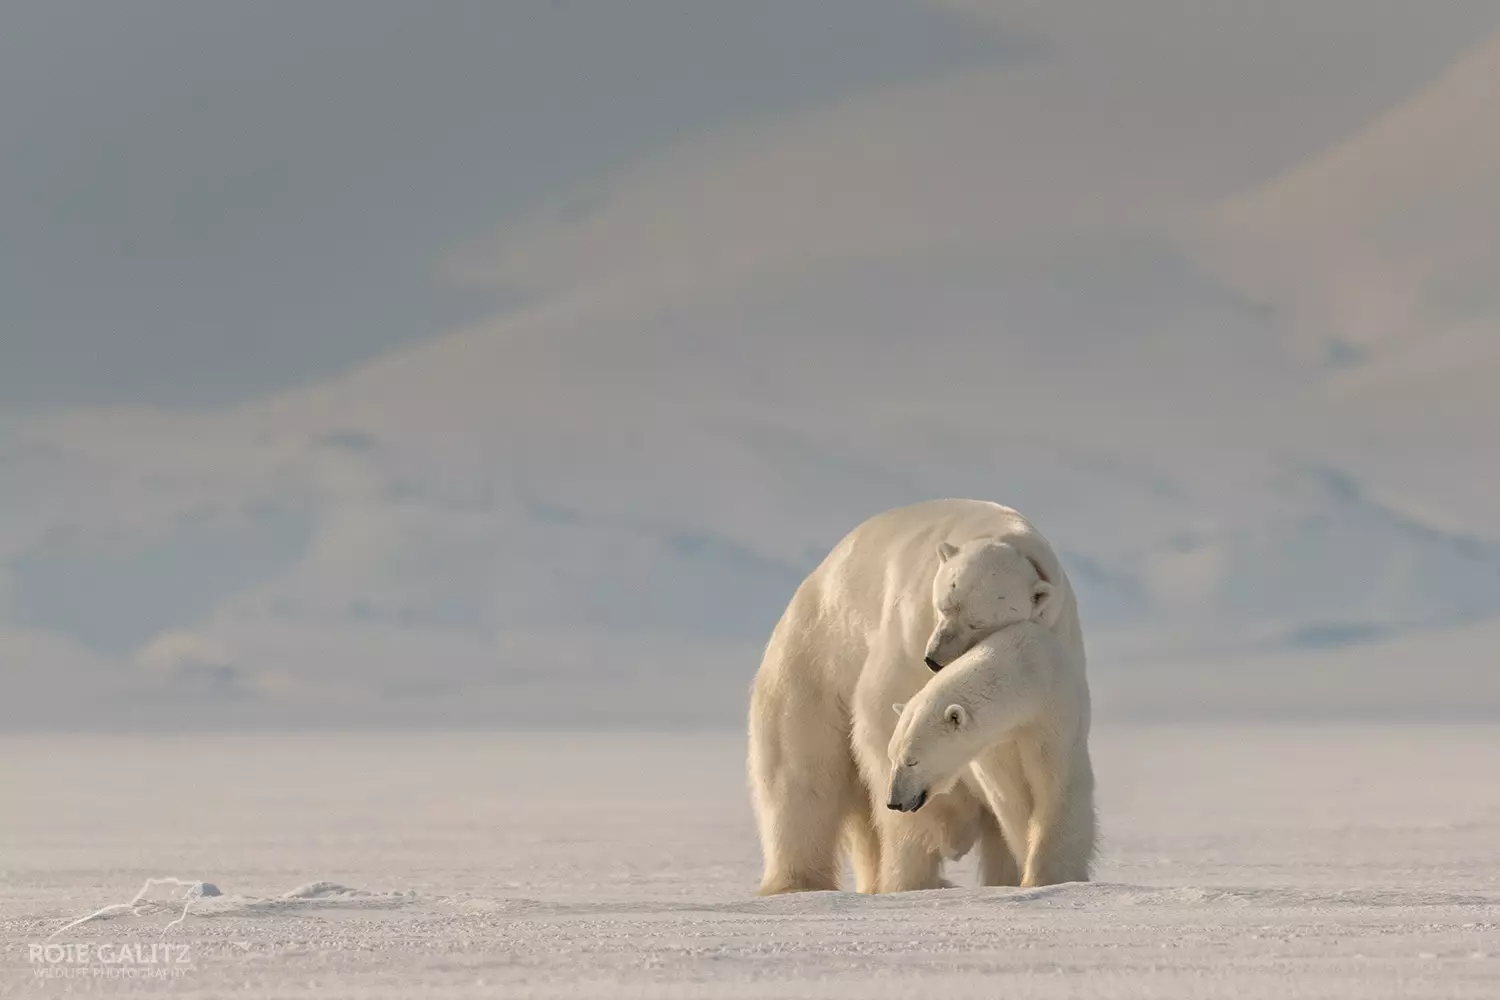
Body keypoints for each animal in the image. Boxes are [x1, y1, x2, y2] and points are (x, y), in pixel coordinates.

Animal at [882, 620, 1098, 887]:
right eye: (892, 758)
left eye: (912, 761)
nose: (894, 801)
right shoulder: (994, 749)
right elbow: (1011, 801)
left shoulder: (1052, 713)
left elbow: (1055, 785)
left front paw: (1046, 877)